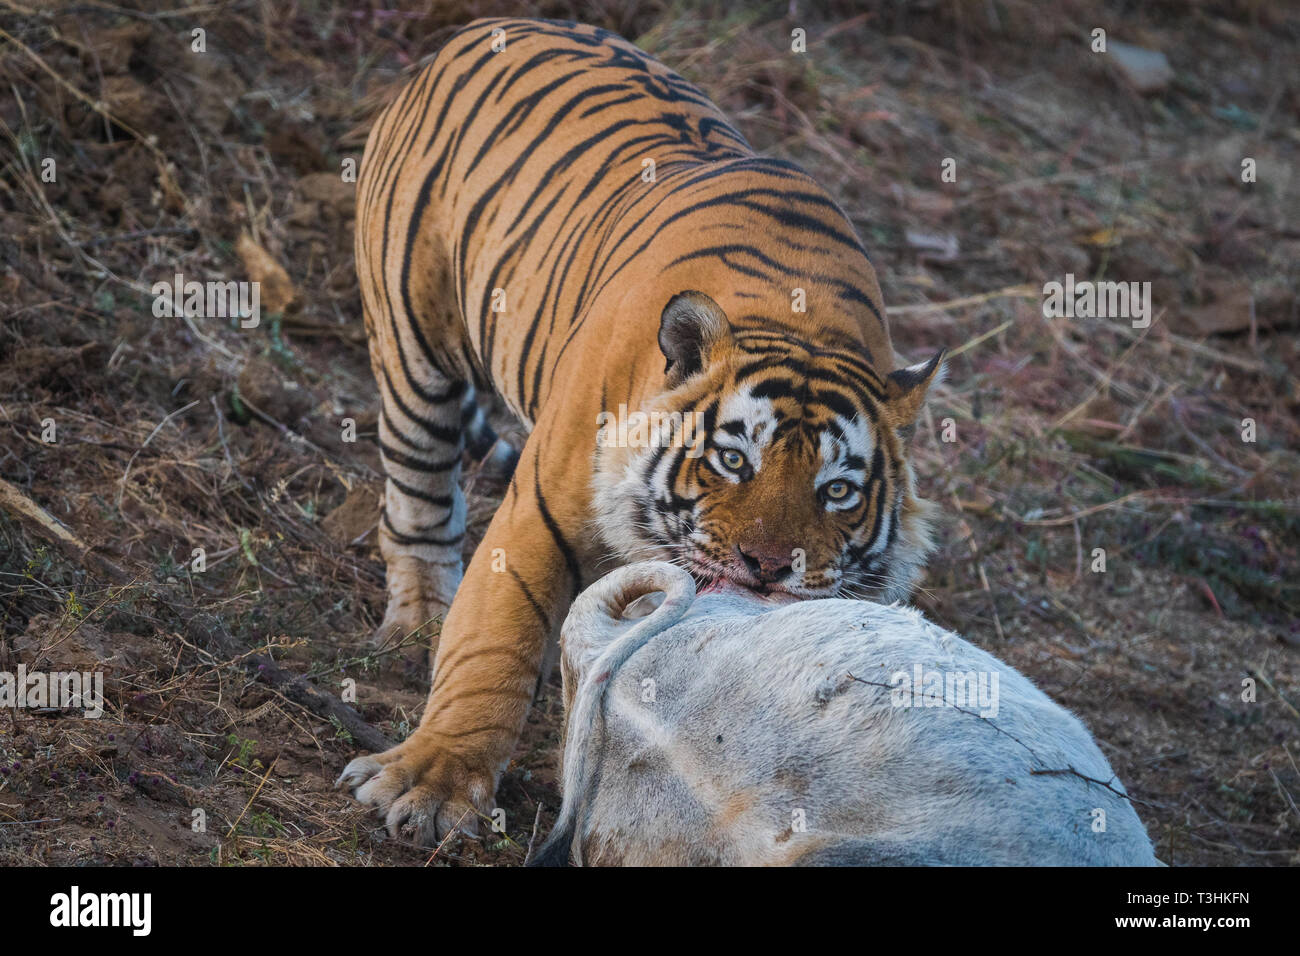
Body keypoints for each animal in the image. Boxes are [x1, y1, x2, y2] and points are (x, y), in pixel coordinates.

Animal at [336, 17, 945, 845]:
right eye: (733, 460)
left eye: (839, 491)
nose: (768, 567)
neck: (803, 324)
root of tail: (488, 26)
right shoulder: (538, 519)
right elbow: (495, 645)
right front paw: (431, 786)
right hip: (413, 340)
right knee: (418, 494)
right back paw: (424, 616)